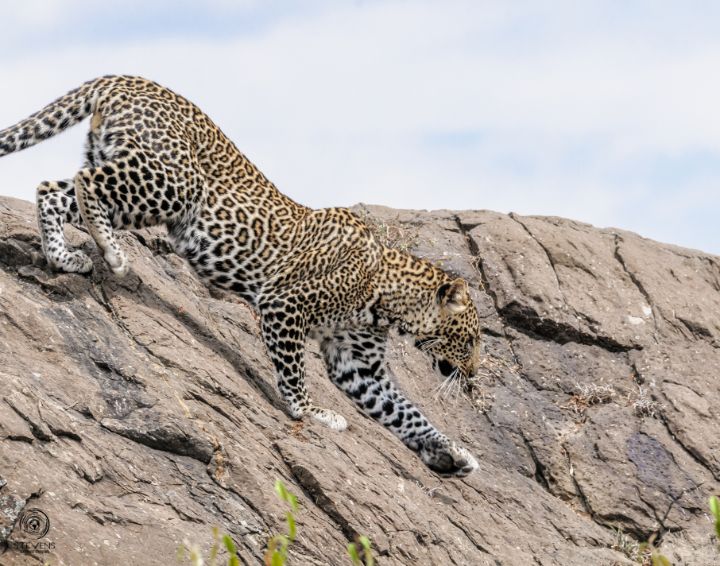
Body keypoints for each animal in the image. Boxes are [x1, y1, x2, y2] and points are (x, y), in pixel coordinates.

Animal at [0, 76, 482, 477]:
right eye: (471, 339)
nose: (474, 376)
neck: (388, 301)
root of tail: (125, 77)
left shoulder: (357, 363)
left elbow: (407, 412)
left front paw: (453, 452)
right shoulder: (284, 307)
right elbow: (294, 372)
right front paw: (310, 412)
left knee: (53, 189)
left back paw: (65, 258)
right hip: (172, 184)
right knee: (83, 183)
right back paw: (112, 253)